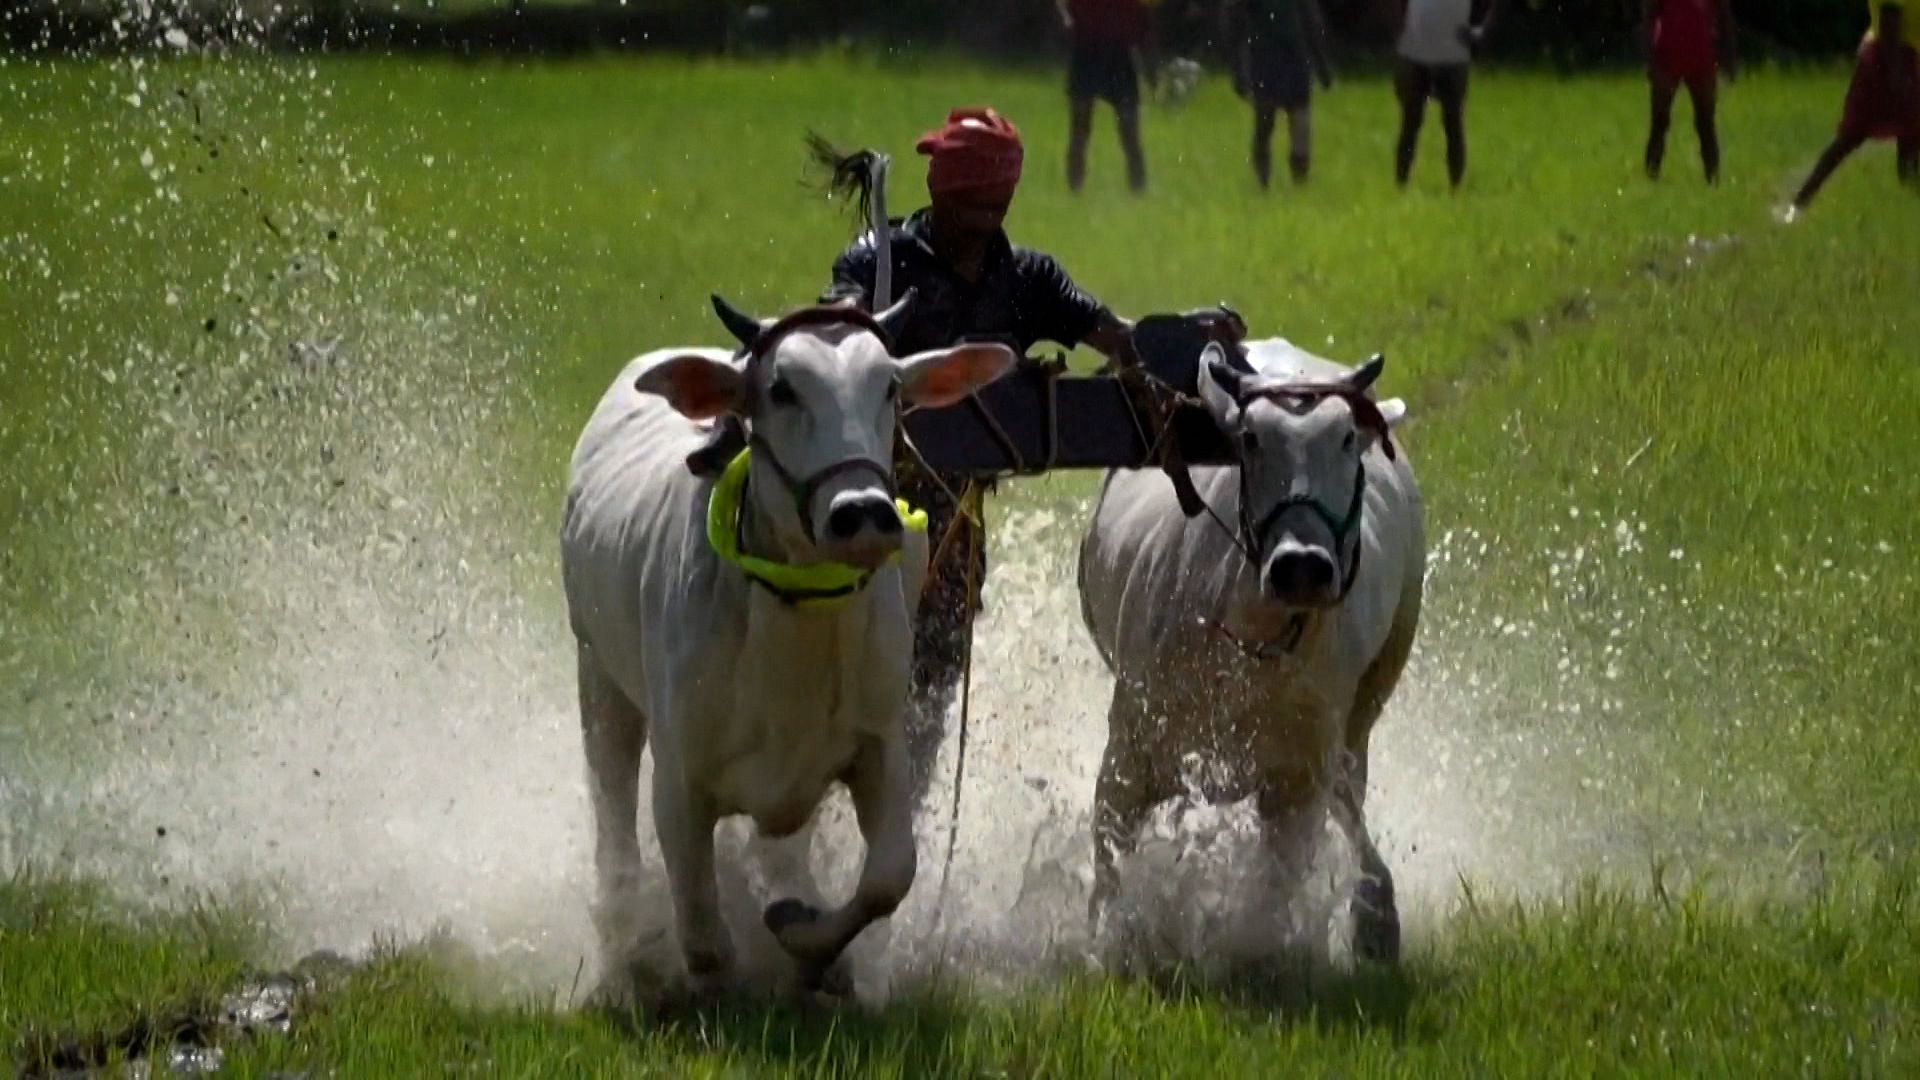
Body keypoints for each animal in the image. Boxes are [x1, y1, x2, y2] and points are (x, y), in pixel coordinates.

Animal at [559, 294, 1016, 996]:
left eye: (890, 386)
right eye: (781, 388)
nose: (864, 513)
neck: (796, 634)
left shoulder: (880, 745)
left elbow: (889, 876)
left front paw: (806, 940)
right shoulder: (680, 776)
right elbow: (703, 933)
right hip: (599, 676)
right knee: (613, 822)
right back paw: (619, 957)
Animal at [1075, 337, 1424, 963]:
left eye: (1346, 440)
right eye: (1252, 439)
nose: (1302, 565)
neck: (1251, 644)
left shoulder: (1296, 787)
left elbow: (1275, 888)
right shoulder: (1127, 755)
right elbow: (1110, 871)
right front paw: (1109, 945)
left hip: (1363, 716)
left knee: (1351, 798)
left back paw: (1374, 913)